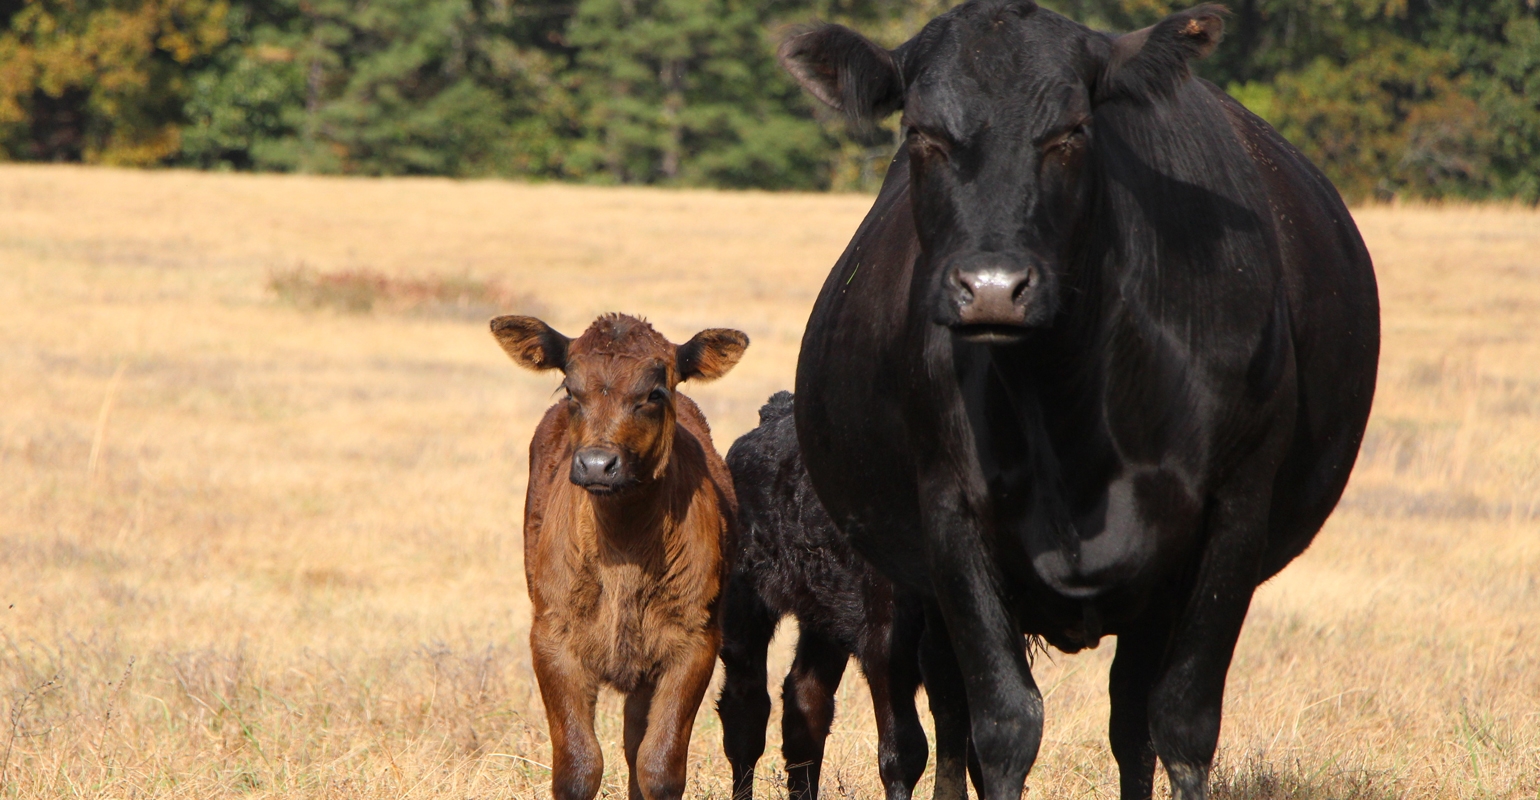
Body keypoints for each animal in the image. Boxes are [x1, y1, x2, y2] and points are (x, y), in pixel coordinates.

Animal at [491, 313, 749, 800]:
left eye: (654, 393)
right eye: (570, 391)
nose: (597, 464)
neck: (624, 553)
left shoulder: (696, 640)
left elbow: (659, 765)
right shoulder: (552, 637)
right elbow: (577, 764)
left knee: (635, 743)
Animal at [777, 3, 1380, 800]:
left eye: (1070, 132)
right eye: (921, 134)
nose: (992, 287)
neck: (1067, 405)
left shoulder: (1234, 513)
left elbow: (1181, 721)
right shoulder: (949, 518)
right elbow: (1004, 724)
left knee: (1128, 720)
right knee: (943, 714)